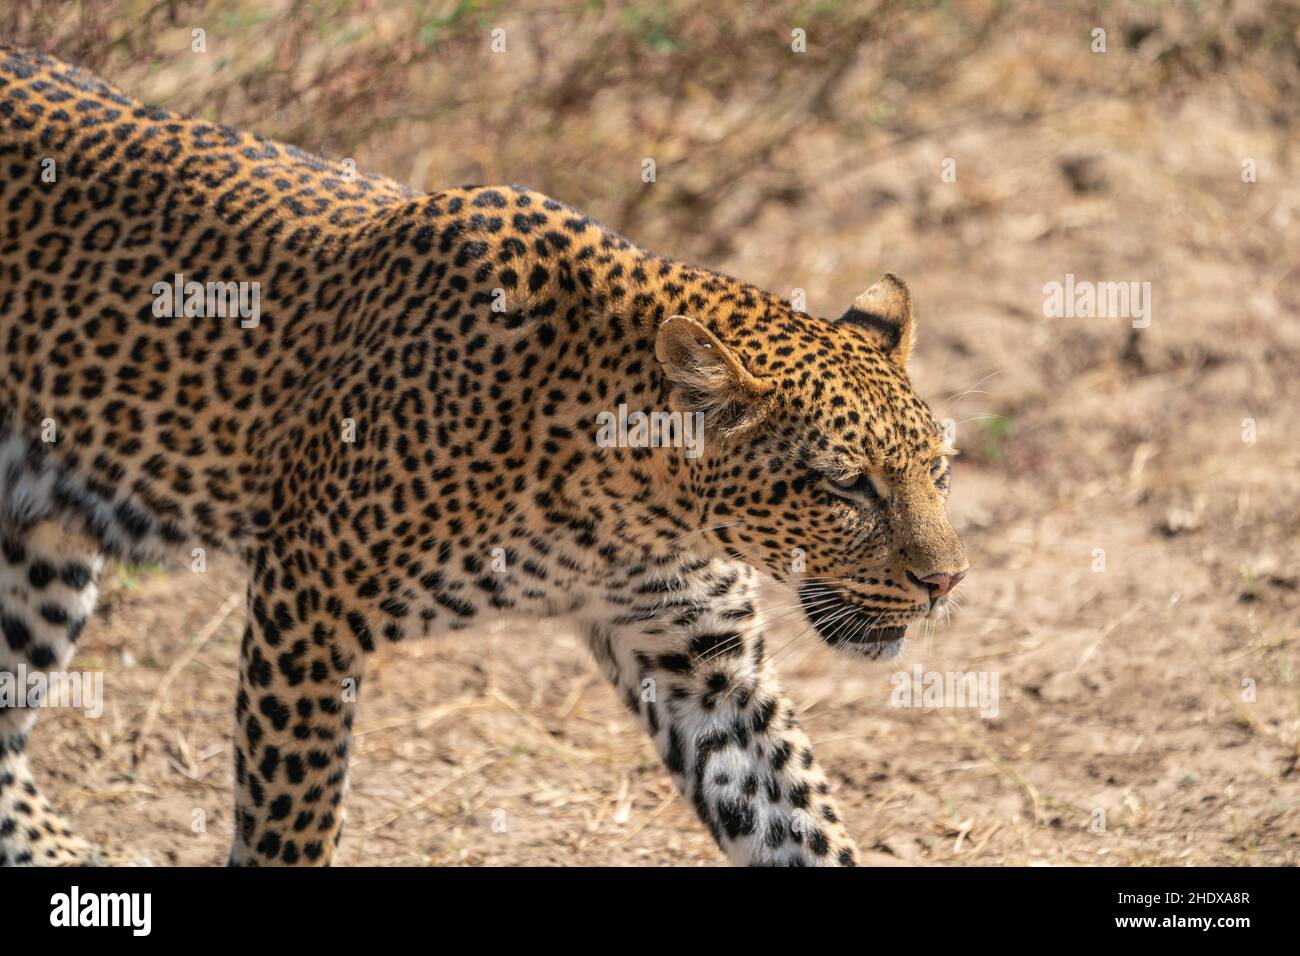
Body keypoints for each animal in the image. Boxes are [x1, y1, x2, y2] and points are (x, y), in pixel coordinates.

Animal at [0, 45, 968, 867]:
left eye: (939, 471)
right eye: (846, 485)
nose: (947, 582)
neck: (628, 507)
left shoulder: (704, 660)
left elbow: (793, 814)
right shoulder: (305, 601)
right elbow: (292, 818)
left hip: (39, 548)